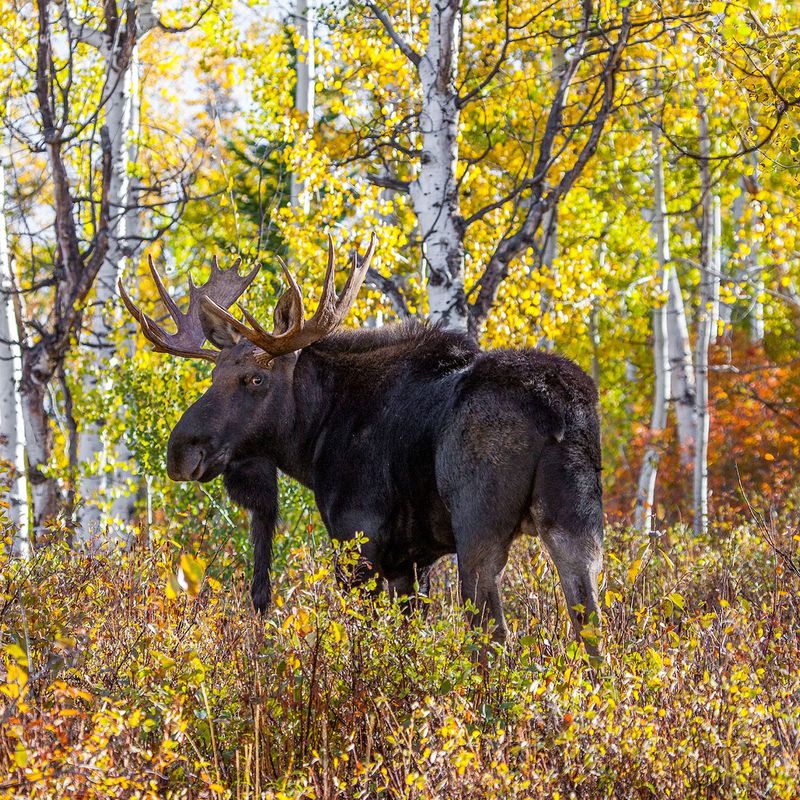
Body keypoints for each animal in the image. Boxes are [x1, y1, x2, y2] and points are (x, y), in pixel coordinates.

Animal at [119, 235, 604, 657]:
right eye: (213, 375)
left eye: (254, 379)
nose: (180, 452)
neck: (314, 438)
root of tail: (558, 410)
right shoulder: (413, 560)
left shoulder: (358, 541)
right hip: (577, 525)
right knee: (591, 629)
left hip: (478, 530)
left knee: (496, 635)